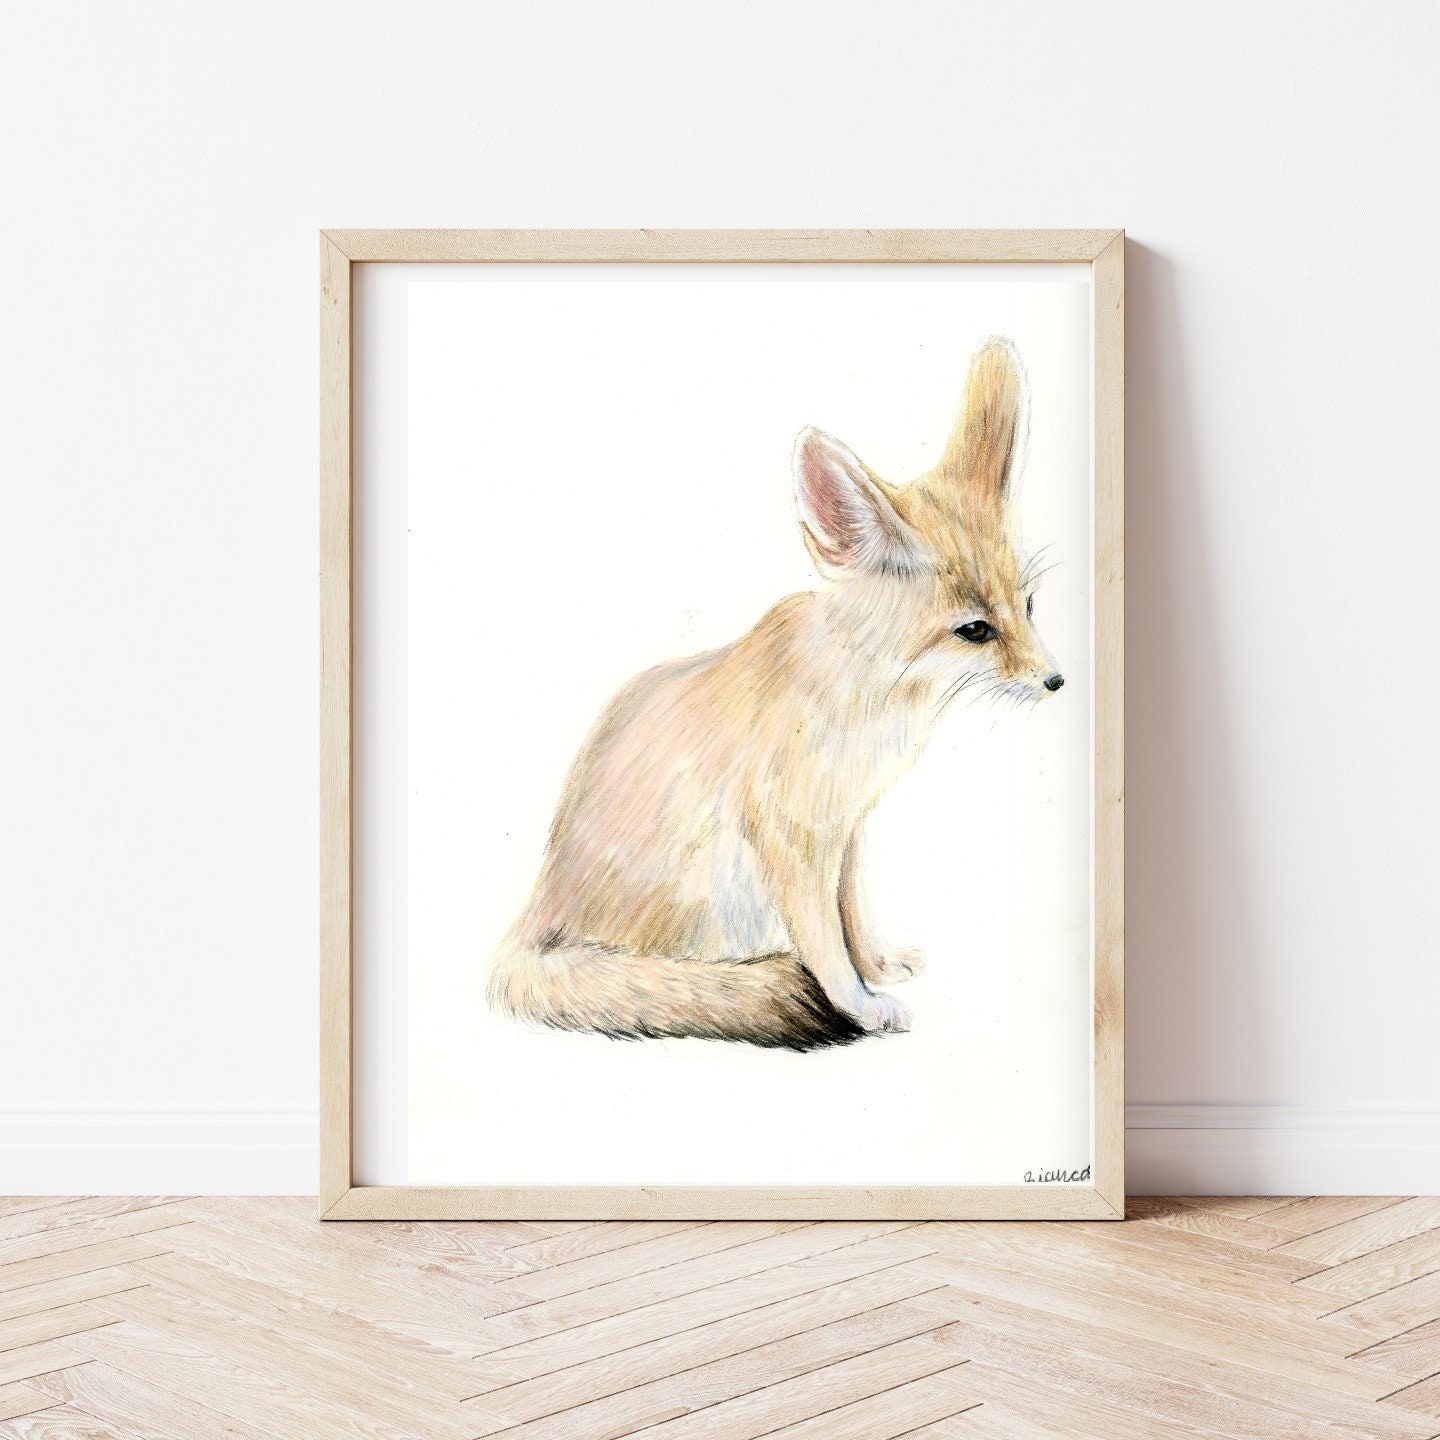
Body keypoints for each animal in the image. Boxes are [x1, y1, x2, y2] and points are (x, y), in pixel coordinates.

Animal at [487, 339, 1064, 1051]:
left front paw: (879, 965)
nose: (1056, 680)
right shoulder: (793, 838)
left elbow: (853, 918)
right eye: (976, 630)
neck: (869, 700)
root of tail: (534, 913)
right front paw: (861, 1004)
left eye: (1028, 606)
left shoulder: (848, 827)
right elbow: (824, 944)